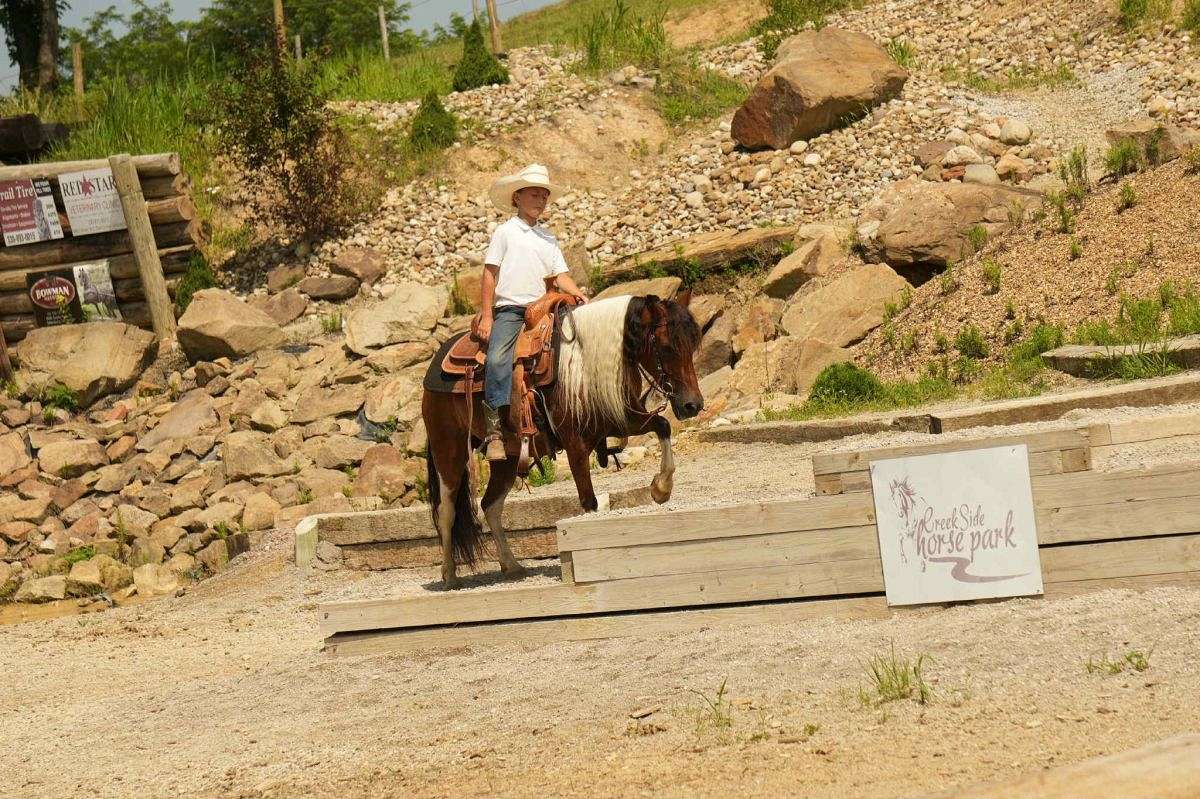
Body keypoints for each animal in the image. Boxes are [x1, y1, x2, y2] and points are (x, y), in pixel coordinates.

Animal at [421, 292, 704, 589]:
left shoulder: (621, 420)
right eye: (666, 346)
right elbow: (589, 502)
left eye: (692, 343)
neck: (584, 364)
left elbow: (663, 426)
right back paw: (450, 575)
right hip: (449, 450)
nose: (692, 405)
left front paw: (661, 487)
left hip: (508, 459)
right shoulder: (576, 445)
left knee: (491, 506)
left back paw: (512, 566)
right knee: (446, 511)